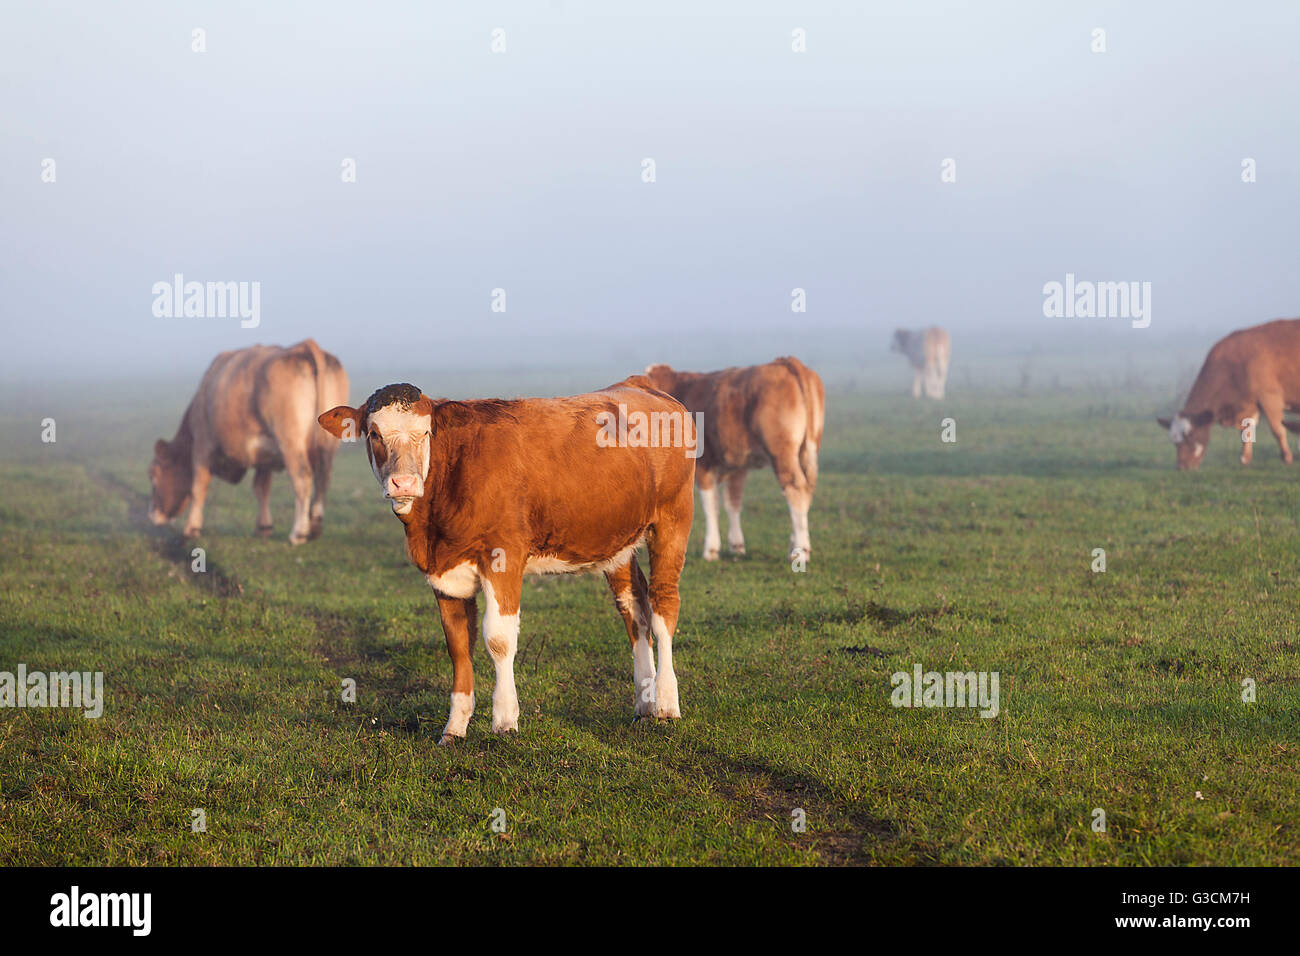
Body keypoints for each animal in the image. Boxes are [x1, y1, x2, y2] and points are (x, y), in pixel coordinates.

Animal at [149, 339, 349, 544]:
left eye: (153, 475)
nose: (152, 514)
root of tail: (305, 345)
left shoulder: (203, 445)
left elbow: (198, 487)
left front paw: (192, 528)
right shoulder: (265, 455)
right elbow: (261, 488)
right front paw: (264, 527)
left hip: (290, 442)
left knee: (303, 478)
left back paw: (299, 532)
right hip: (327, 446)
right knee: (323, 478)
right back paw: (315, 527)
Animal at [316, 378, 695, 741]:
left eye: (425, 433)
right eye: (375, 434)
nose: (404, 482)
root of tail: (644, 386)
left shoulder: (504, 556)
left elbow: (498, 639)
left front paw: (504, 721)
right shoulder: (445, 575)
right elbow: (458, 645)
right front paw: (454, 728)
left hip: (673, 519)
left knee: (664, 604)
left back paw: (666, 704)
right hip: (617, 541)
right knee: (635, 609)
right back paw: (644, 706)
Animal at [642, 357, 824, 564]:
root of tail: (786, 362)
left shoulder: (703, 464)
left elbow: (711, 505)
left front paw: (711, 549)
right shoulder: (737, 466)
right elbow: (733, 502)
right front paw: (736, 546)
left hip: (782, 453)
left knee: (796, 489)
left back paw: (801, 551)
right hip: (806, 452)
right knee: (807, 491)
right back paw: (794, 547)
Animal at [1157, 318, 1300, 470]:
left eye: (1190, 436)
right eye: (1175, 442)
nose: (1182, 466)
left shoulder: (1269, 397)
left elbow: (1277, 429)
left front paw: (1287, 458)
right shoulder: (1248, 405)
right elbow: (1246, 432)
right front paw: (1245, 459)